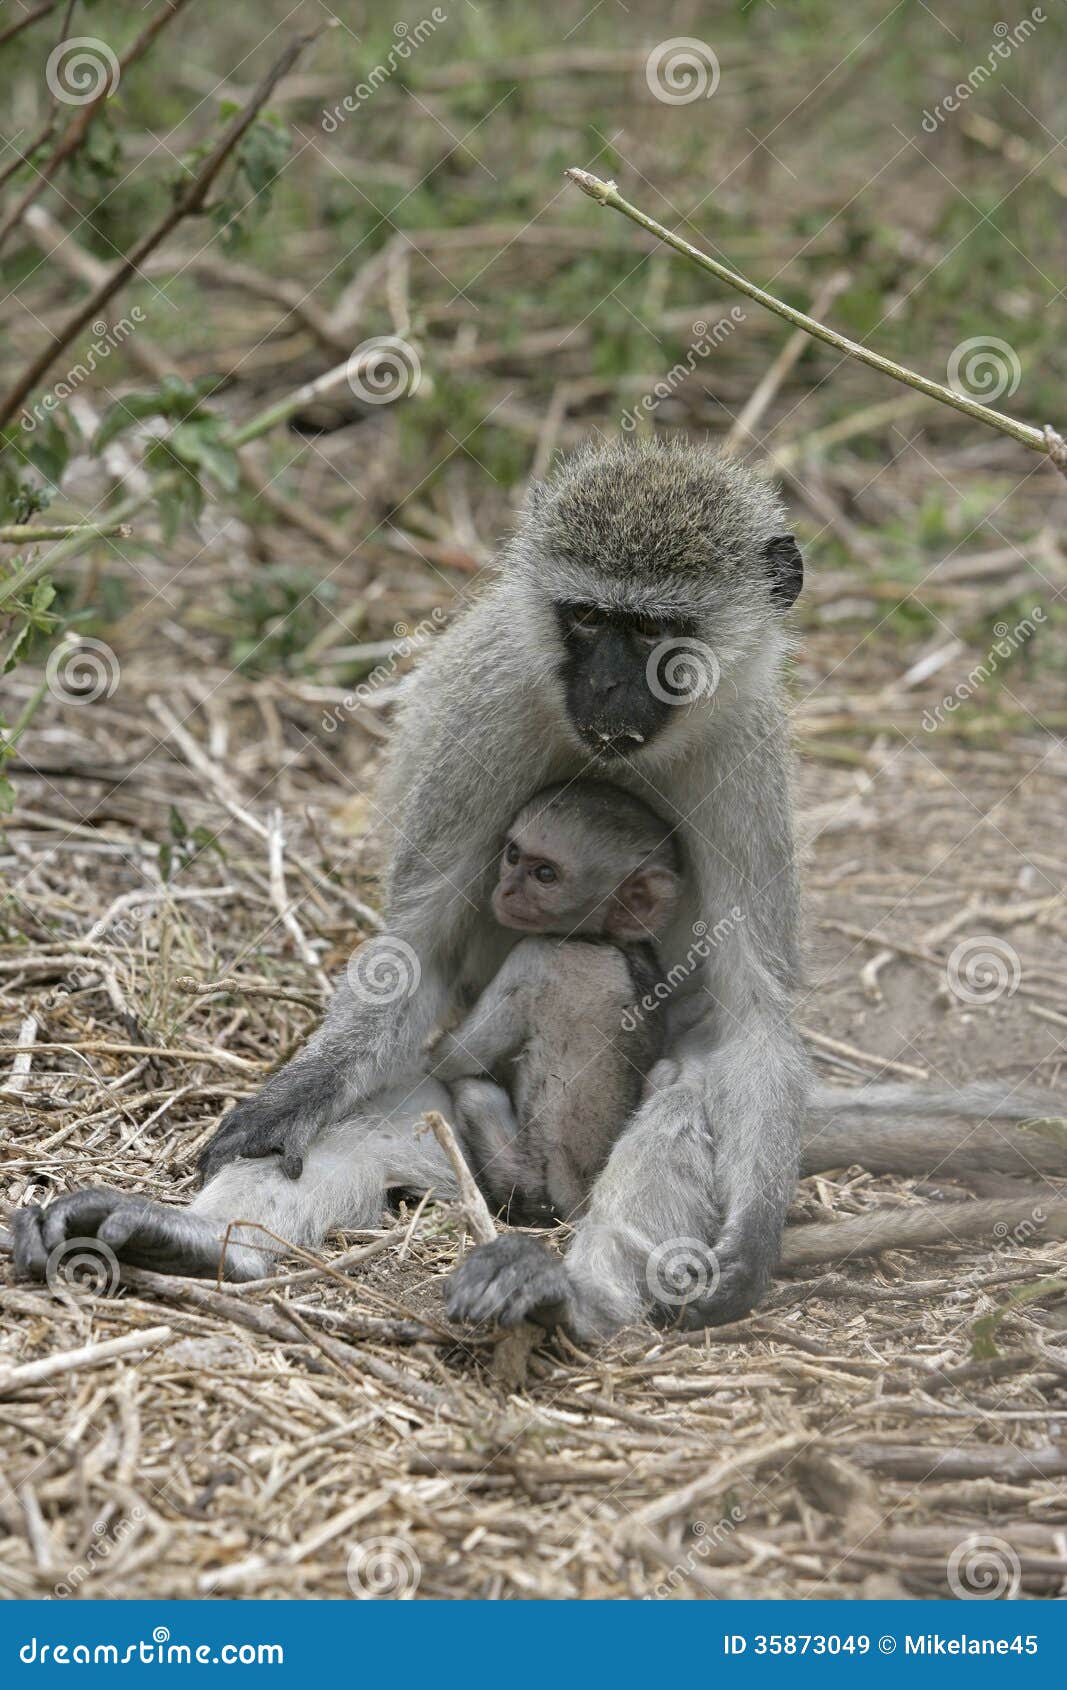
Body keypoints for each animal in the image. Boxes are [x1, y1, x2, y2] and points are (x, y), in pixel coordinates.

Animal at [433, 780, 684, 1226]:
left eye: (544, 875)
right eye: (513, 855)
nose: (506, 890)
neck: (603, 940)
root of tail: (580, 1199)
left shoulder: (535, 957)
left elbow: (453, 1059)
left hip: (527, 1184)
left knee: (478, 1095)